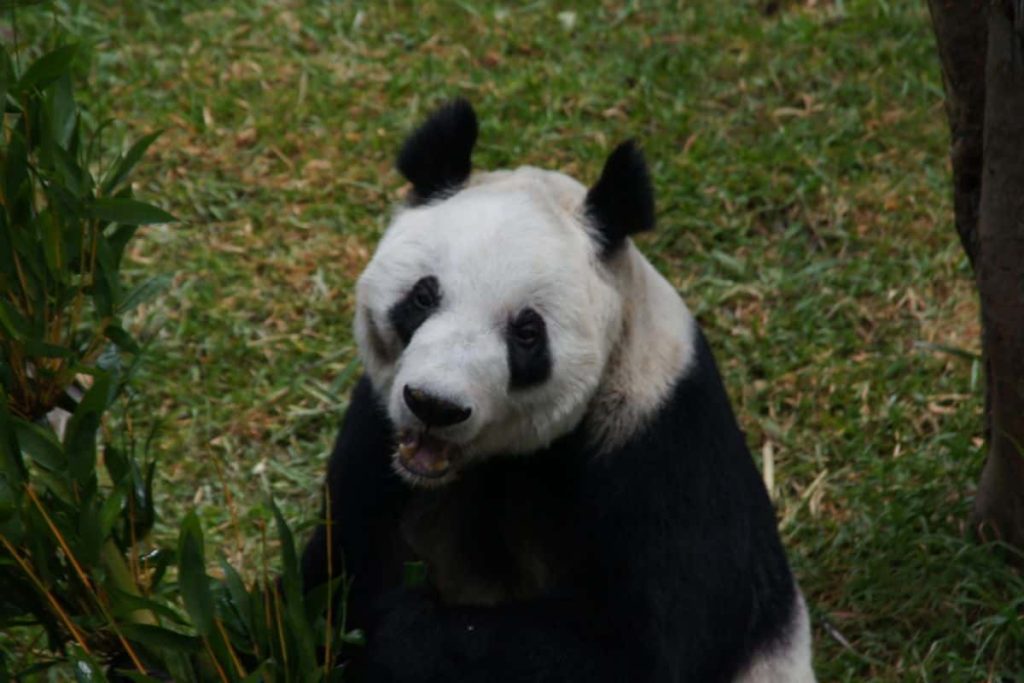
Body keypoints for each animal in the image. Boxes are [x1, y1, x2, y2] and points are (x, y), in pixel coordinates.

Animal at [301, 99, 815, 683]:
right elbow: (328, 572)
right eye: (423, 296)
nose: (435, 405)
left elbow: (631, 651)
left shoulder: (662, 453)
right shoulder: (377, 432)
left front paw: (394, 627)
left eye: (526, 332)